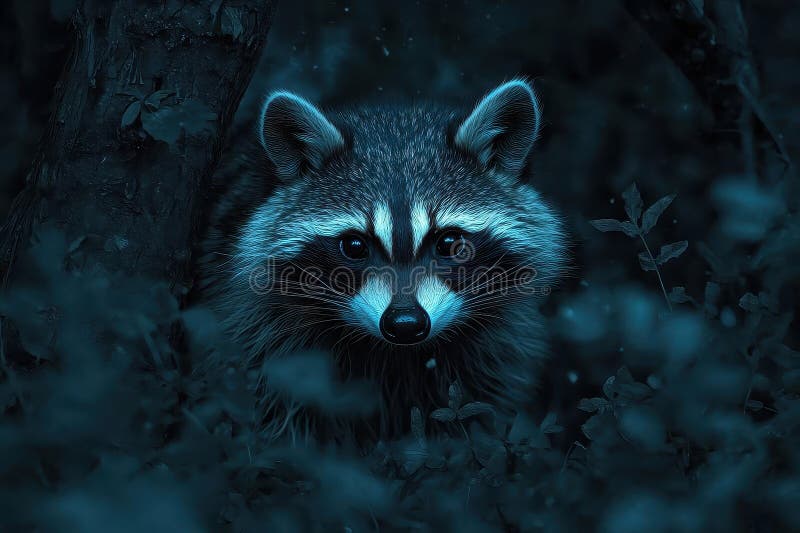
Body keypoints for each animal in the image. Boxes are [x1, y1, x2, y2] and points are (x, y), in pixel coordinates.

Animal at [200, 80, 566, 441]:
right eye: (354, 246)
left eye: (449, 243)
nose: (405, 324)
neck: (396, 355)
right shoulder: (259, 328)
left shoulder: (496, 345)